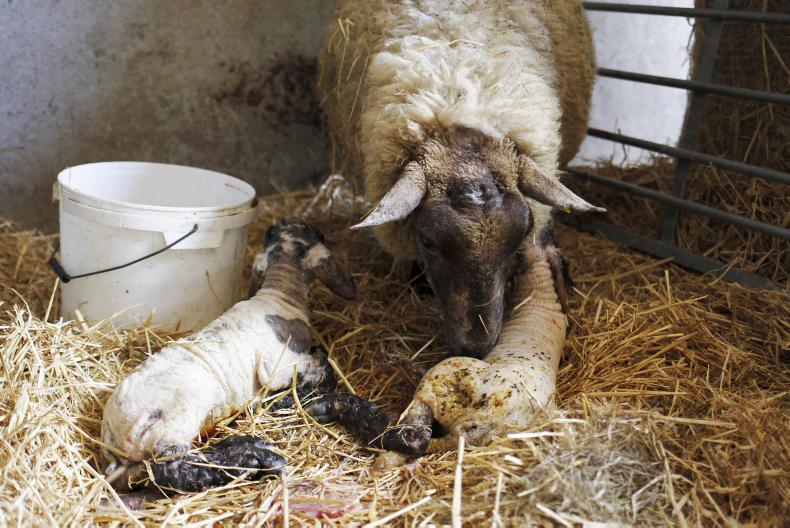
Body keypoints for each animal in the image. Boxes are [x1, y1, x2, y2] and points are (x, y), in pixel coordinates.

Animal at [101, 221, 356, 492]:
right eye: (317, 234)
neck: (279, 296)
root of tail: (112, 436)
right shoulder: (279, 366)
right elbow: (319, 367)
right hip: (172, 424)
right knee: (173, 467)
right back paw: (253, 457)